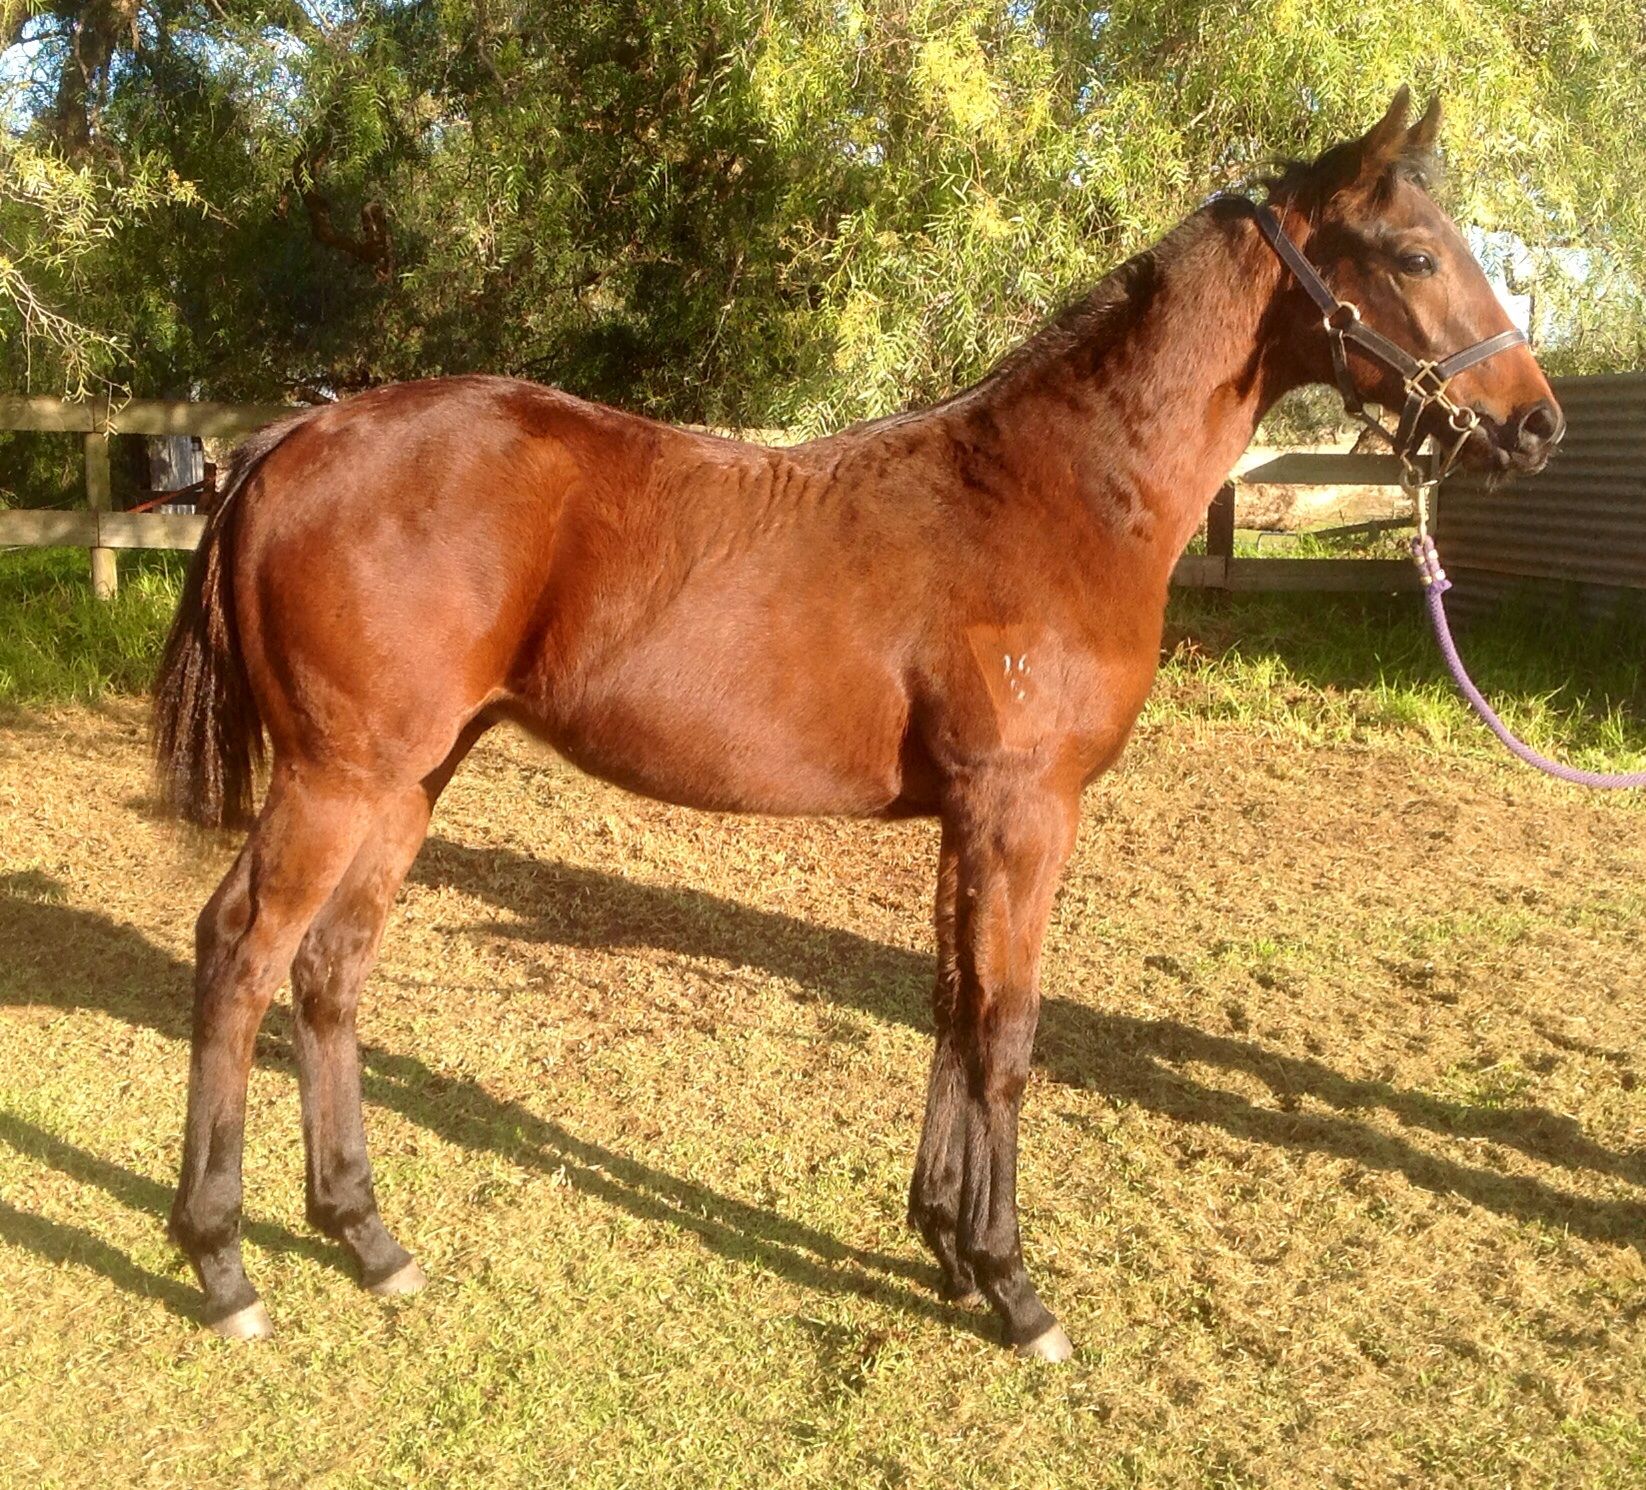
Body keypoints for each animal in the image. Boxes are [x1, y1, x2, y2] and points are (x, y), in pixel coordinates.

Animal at [152, 89, 1561, 1359]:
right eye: (1414, 253)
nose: (1533, 424)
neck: (1059, 489)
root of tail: (287, 441)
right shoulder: (1023, 812)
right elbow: (1007, 1028)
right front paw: (1012, 1285)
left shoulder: (967, 820)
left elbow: (949, 1003)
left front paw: (942, 1243)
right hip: (337, 776)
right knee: (238, 951)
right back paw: (223, 1266)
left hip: (413, 778)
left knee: (329, 972)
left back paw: (366, 1237)